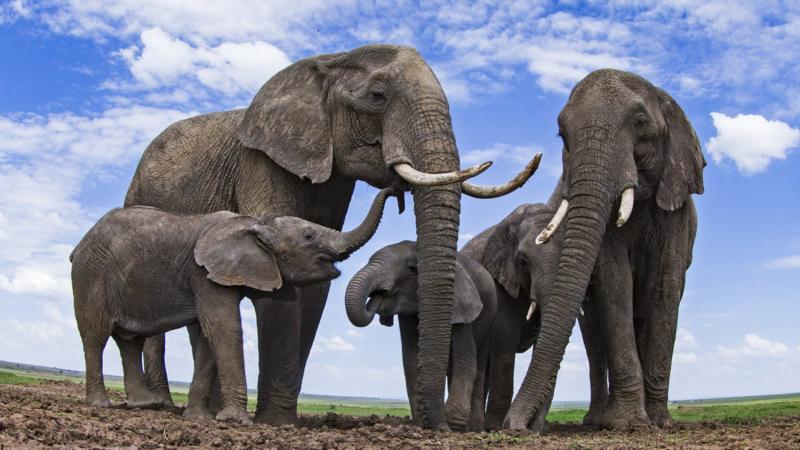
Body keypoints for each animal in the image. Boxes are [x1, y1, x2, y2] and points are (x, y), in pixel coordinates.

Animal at [70, 188, 394, 424]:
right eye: (308, 235)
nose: (395, 192)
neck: (256, 222)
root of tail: (79, 245)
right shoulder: (203, 273)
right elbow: (224, 328)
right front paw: (236, 421)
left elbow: (206, 337)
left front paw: (200, 419)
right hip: (90, 274)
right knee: (95, 336)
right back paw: (100, 404)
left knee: (130, 340)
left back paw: (144, 405)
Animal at [344, 241, 497, 431]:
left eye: (411, 269)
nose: (376, 297)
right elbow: (410, 358)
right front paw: (421, 423)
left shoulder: (461, 304)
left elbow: (465, 359)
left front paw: (453, 425)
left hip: (490, 317)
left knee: (479, 363)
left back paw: (475, 429)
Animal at [503, 69, 704, 430]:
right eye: (562, 135)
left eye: (640, 122)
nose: (514, 427)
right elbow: (615, 283)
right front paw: (629, 424)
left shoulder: (677, 207)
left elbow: (665, 287)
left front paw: (660, 423)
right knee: (594, 339)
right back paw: (597, 419)